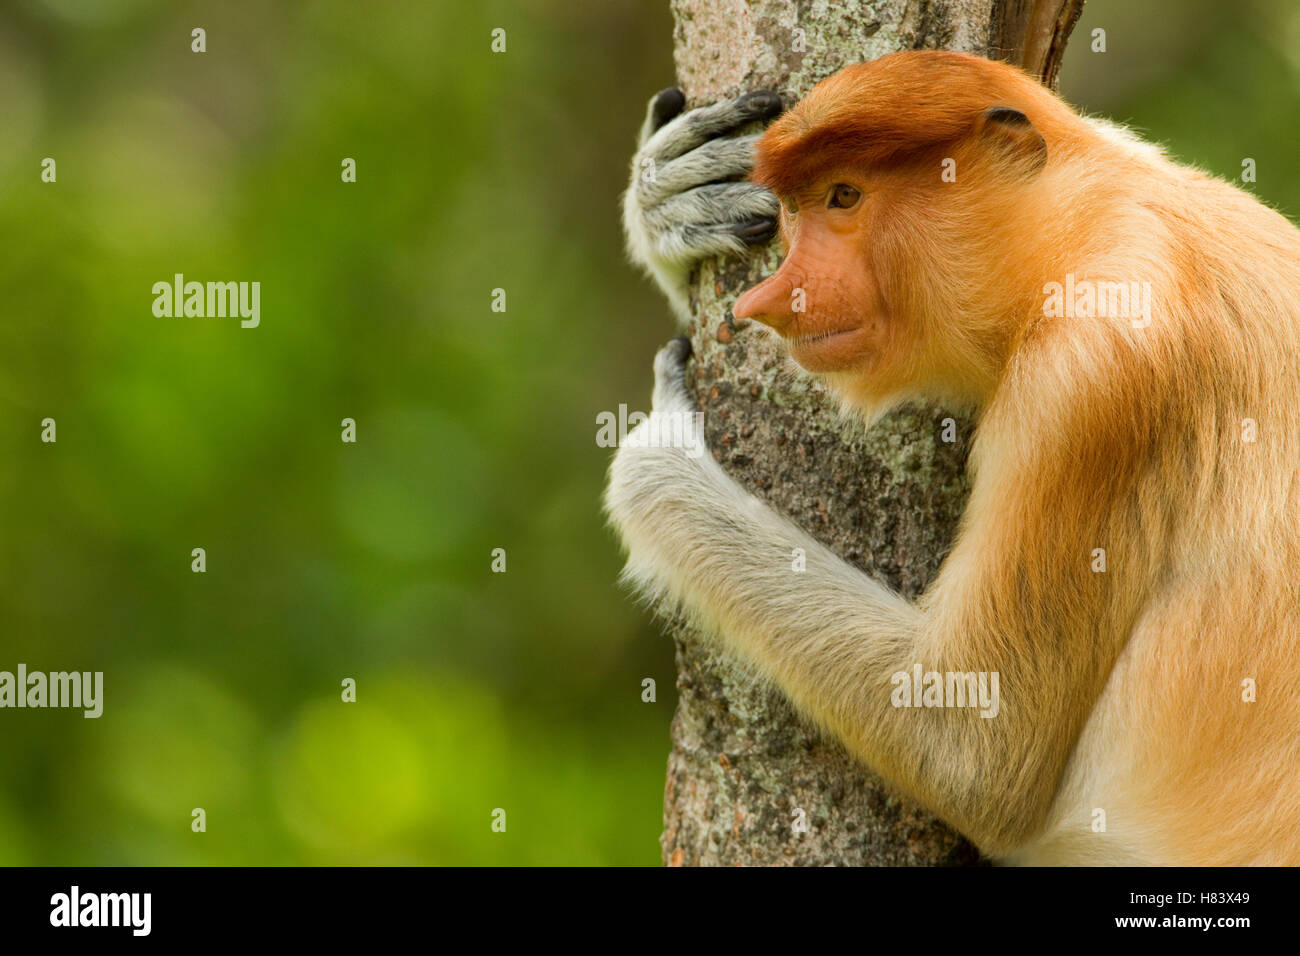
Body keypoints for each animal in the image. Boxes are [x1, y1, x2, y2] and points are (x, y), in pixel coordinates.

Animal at [607, 50, 1300, 865]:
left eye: (845, 196)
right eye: (796, 209)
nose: (772, 303)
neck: (1085, 226)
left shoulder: (1092, 375)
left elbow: (971, 746)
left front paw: (653, 463)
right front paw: (667, 197)